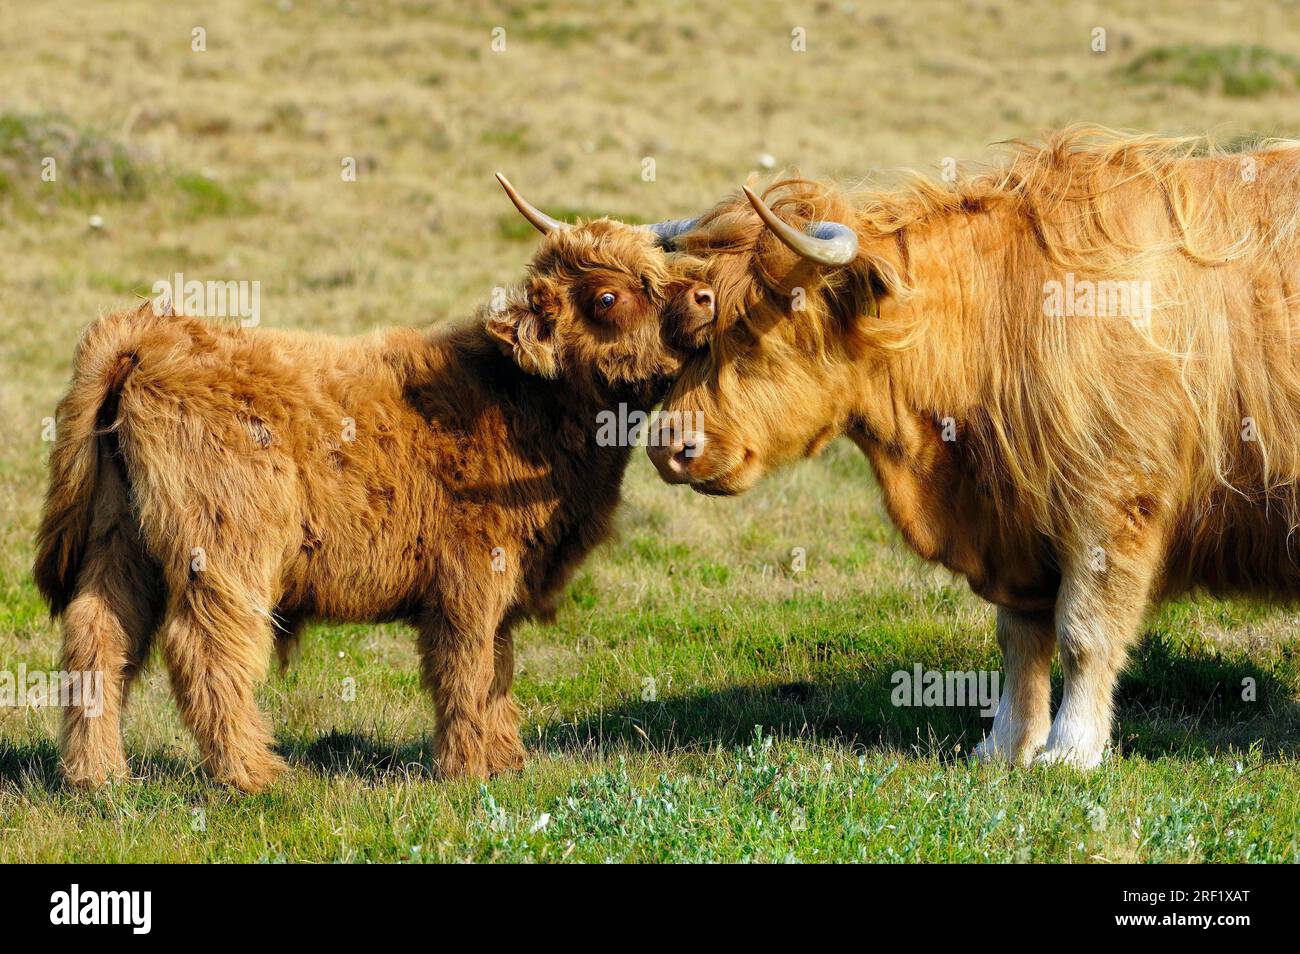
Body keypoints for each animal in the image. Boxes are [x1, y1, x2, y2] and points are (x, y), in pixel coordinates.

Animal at [33, 176, 713, 791]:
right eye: (608, 297)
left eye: (659, 268)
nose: (706, 296)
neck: (524, 406)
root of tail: (149, 335)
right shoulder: (469, 576)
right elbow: (468, 665)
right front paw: (467, 769)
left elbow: (499, 664)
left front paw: (506, 760)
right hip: (226, 544)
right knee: (204, 648)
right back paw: (254, 775)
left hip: (120, 537)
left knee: (98, 637)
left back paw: (98, 776)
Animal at [648, 127, 1300, 769]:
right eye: (694, 330)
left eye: (752, 327)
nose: (666, 446)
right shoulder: (1017, 524)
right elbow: (1021, 639)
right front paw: (1005, 744)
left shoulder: (1112, 503)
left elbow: (1084, 632)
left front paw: (1069, 749)